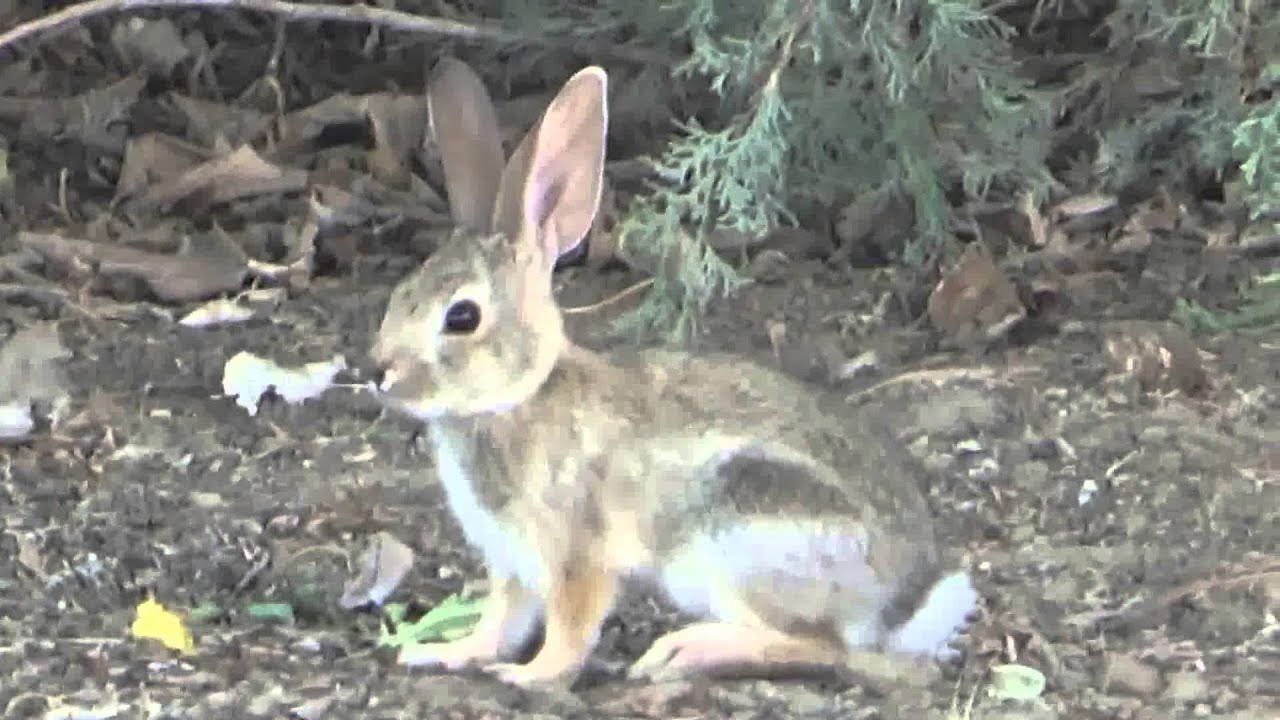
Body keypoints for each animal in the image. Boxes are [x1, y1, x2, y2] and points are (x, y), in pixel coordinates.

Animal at [370, 56, 980, 690]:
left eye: (462, 317)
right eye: (401, 294)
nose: (379, 373)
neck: (517, 400)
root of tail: (901, 606)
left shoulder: (578, 553)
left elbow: (570, 627)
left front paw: (532, 676)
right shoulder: (511, 563)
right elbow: (500, 623)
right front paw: (443, 652)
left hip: (738, 536)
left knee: (820, 647)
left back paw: (687, 651)